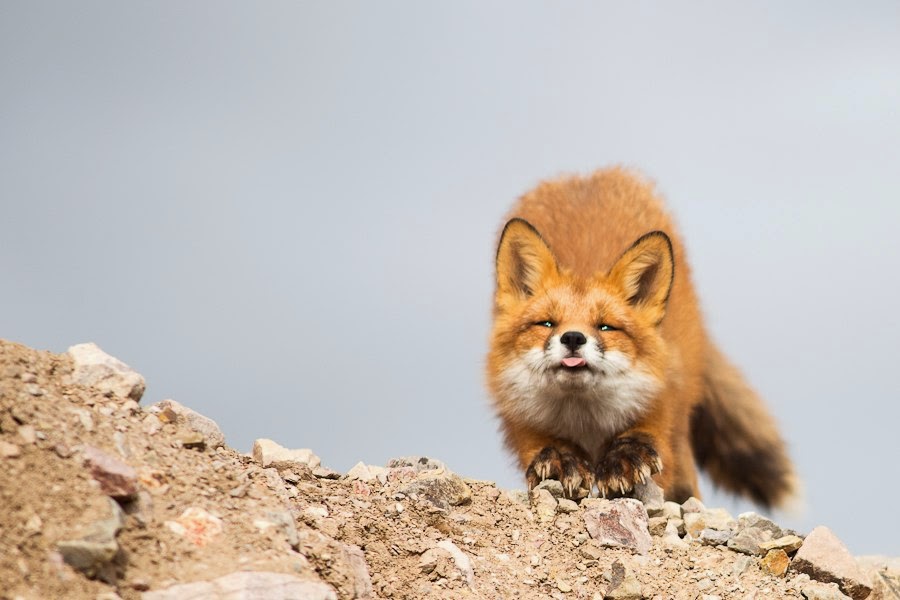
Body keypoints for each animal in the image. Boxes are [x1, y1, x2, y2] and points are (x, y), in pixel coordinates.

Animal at [487, 167, 796, 508]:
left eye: (606, 327)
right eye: (546, 323)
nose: (573, 338)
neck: (586, 422)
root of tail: (585, 175)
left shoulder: (663, 398)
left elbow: (647, 437)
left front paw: (624, 458)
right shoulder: (516, 411)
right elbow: (540, 443)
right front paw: (561, 457)